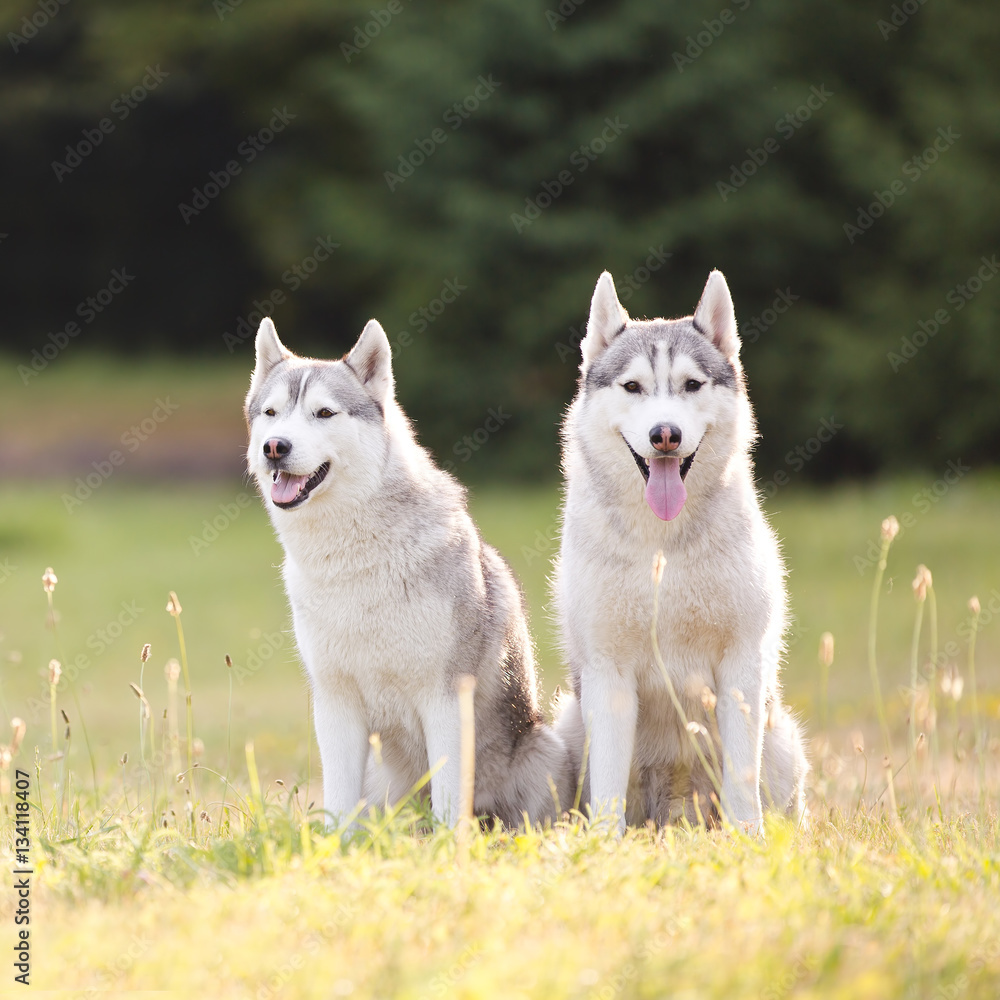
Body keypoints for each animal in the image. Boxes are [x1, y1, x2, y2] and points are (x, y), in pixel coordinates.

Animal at [245, 316, 577, 829]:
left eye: (324, 413)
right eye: (271, 412)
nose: (274, 447)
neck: (355, 560)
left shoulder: (443, 700)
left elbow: (448, 803)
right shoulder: (335, 706)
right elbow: (338, 809)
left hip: (545, 752)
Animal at [552, 270, 808, 835]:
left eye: (692, 385)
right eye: (632, 387)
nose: (664, 434)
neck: (662, 549)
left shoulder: (741, 667)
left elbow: (742, 781)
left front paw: (748, 840)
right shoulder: (608, 674)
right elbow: (607, 787)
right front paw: (603, 844)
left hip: (780, 736)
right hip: (569, 720)